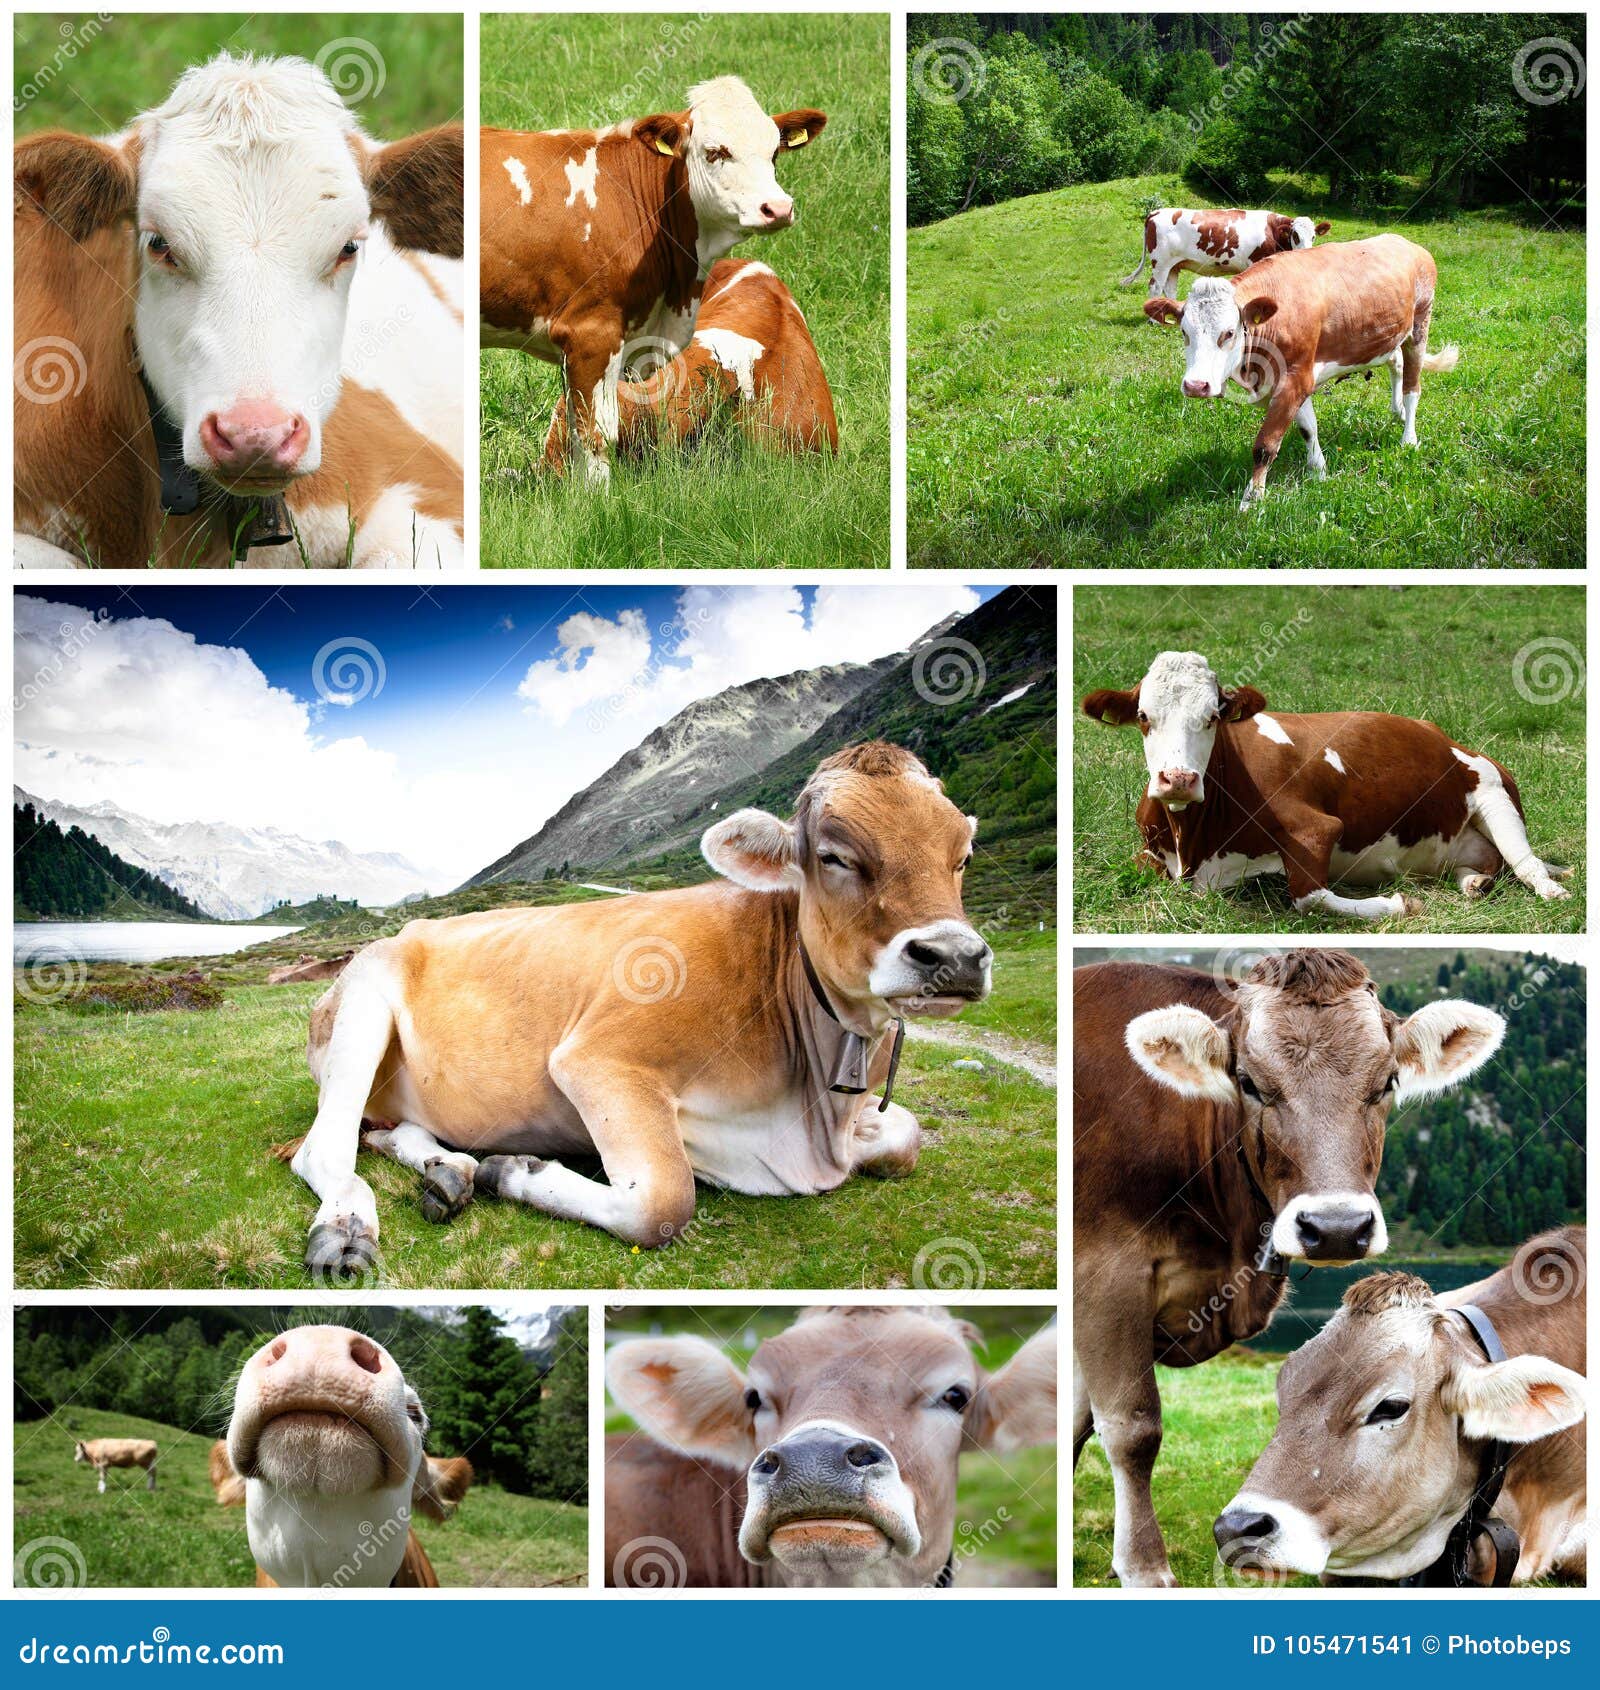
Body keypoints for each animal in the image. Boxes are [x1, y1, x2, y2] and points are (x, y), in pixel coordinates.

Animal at [277, 742, 991, 1278]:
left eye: (962, 854)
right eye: (833, 856)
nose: (954, 956)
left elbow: (907, 1139)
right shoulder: (600, 1060)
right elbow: (664, 1205)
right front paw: (519, 1170)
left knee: (391, 1132)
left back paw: (447, 1170)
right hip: (363, 1004)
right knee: (322, 1150)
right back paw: (350, 1227)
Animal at [1073, 949, 1506, 1586]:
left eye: (1386, 1083)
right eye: (1251, 1083)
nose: (1336, 1226)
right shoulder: (1105, 1275)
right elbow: (1132, 1427)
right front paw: (1145, 1569)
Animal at [1082, 650, 1569, 923]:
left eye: (1213, 716)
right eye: (1143, 716)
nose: (1179, 780)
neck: (1194, 847)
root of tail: (1448, 736)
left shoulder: (1314, 828)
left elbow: (1311, 899)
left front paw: (1399, 905)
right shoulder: (1151, 852)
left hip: (1494, 793)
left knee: (1527, 866)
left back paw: (1552, 889)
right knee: (1488, 865)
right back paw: (1475, 883)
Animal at [1120, 206, 1330, 301]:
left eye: (1313, 236)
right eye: (1295, 235)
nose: (1306, 253)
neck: (1272, 230)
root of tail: (1156, 211)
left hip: (1174, 264)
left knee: (1169, 288)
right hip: (1161, 262)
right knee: (1155, 286)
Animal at [1143, 234, 1457, 509]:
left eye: (1229, 333)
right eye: (1184, 332)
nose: (1196, 385)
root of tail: (1408, 244)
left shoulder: (1295, 379)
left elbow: (1265, 446)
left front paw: (1251, 501)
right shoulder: (1296, 378)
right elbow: (1308, 427)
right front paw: (1318, 470)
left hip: (1420, 325)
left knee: (1413, 387)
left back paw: (1409, 437)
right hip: (1388, 335)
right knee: (1396, 365)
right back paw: (1396, 411)